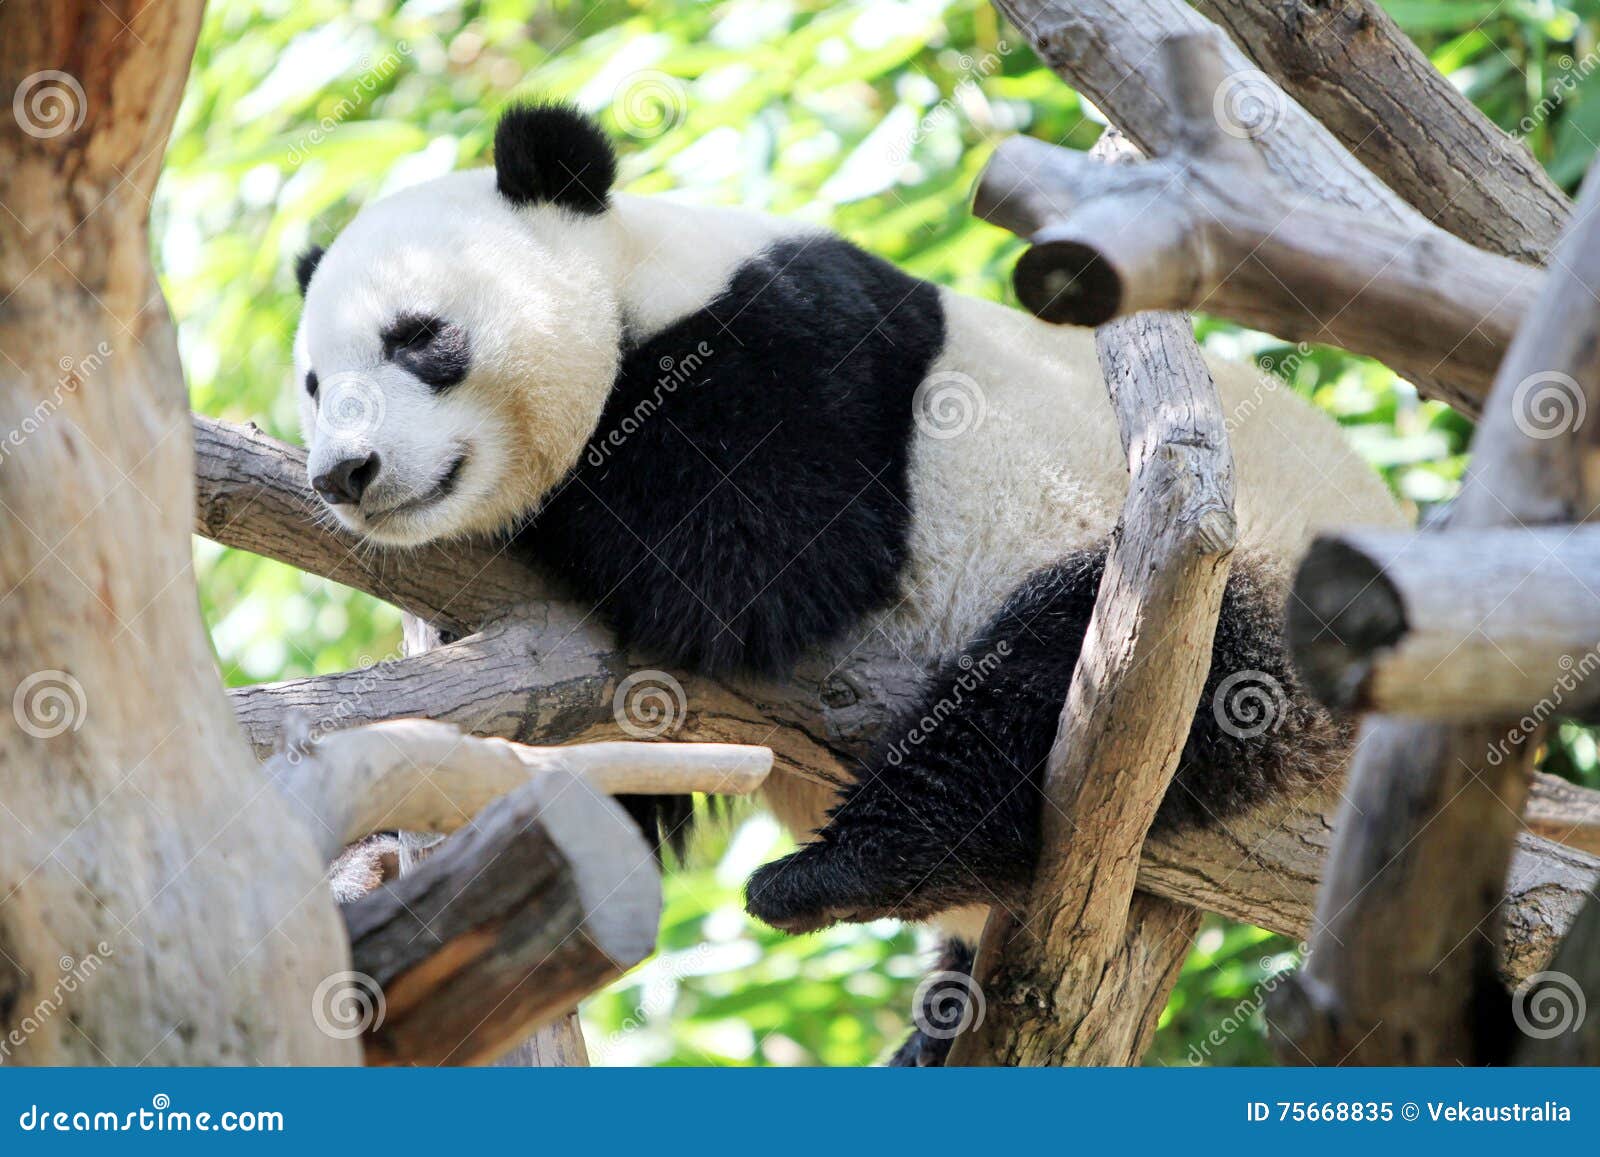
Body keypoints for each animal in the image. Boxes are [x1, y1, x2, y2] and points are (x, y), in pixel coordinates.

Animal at [292, 104, 1406, 1063]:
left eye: (419, 336)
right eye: (312, 382)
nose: (344, 474)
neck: (635, 275)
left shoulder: (792, 350)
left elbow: (756, 558)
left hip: (1234, 589)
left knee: (1054, 677)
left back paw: (837, 870)